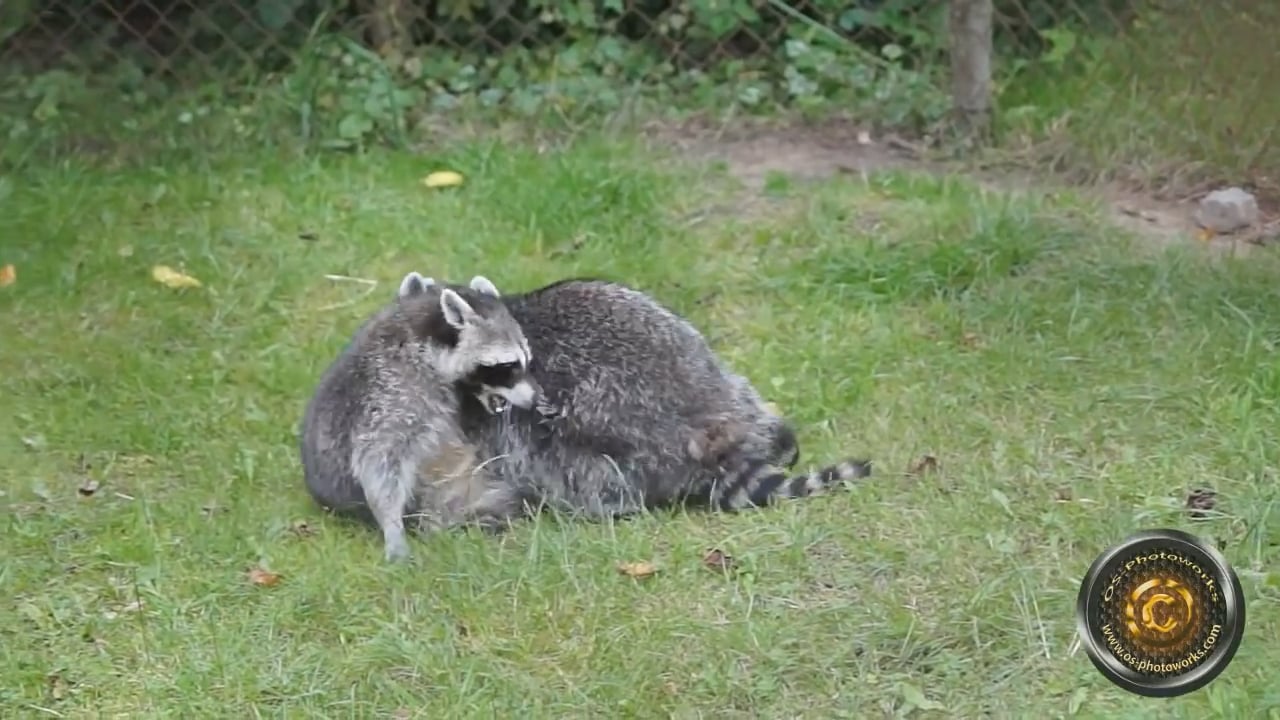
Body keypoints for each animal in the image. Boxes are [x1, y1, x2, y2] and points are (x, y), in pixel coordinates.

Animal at [298, 273, 540, 562]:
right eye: (508, 366)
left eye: (526, 360)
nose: (536, 399)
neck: (416, 336)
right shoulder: (392, 392)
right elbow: (377, 460)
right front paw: (391, 525)